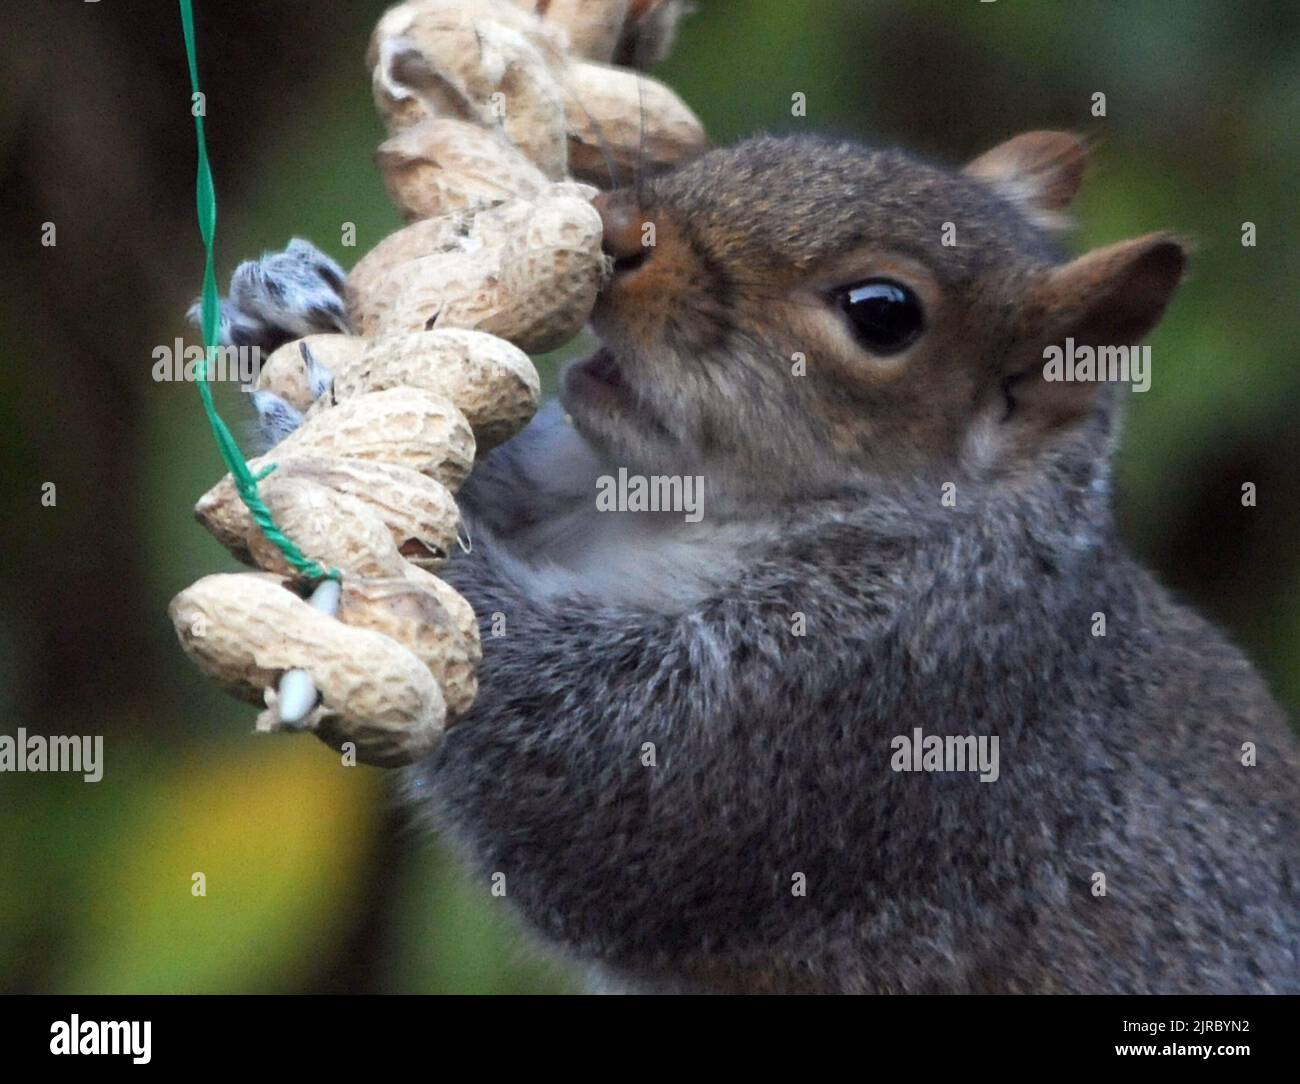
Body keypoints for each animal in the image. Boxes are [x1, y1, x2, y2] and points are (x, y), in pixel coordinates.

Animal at [208, 131, 1298, 994]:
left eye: (883, 312)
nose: (617, 230)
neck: (684, 512)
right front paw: (284, 307)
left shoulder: (871, 693)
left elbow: (576, 776)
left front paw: (355, 511)